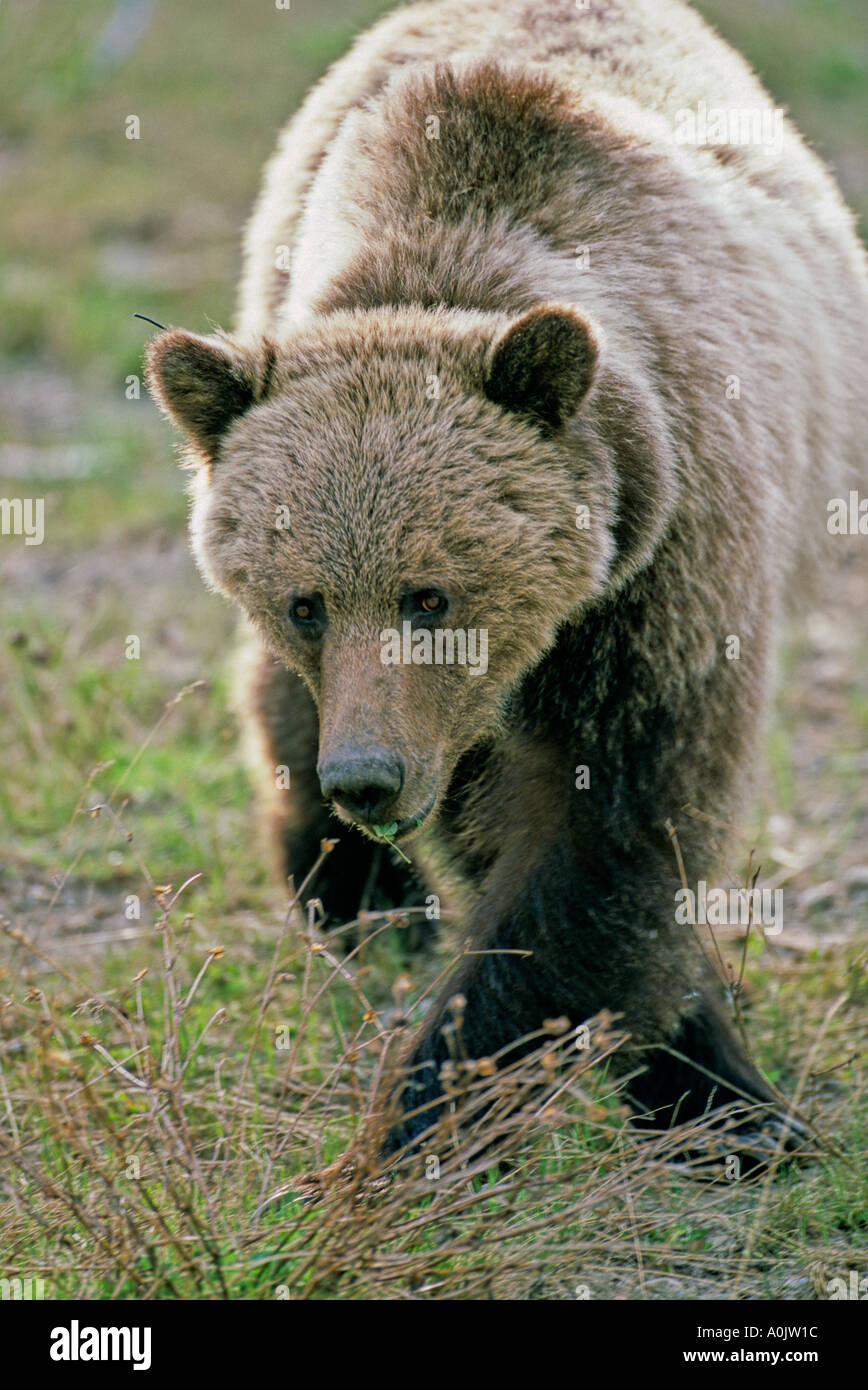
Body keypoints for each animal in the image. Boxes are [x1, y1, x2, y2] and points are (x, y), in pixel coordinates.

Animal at [146, 0, 868, 1159]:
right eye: (305, 603)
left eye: (429, 593)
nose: (368, 779)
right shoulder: (451, 705)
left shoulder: (657, 585)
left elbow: (603, 842)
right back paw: (356, 893)